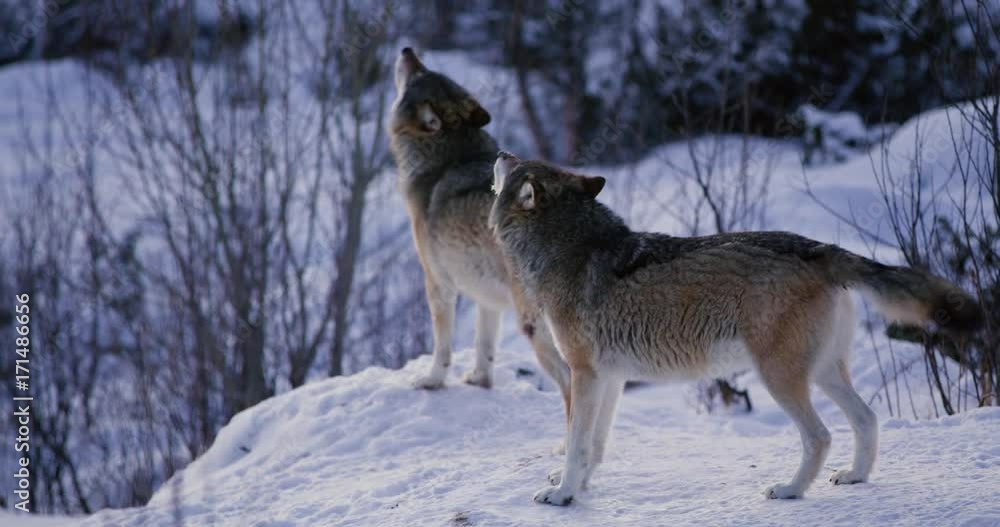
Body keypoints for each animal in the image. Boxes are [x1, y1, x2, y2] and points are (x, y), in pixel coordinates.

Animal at [388, 49, 572, 435]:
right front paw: (480, 381)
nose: (408, 50)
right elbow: (484, 347)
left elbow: (442, 348)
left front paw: (431, 382)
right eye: (428, 70)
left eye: (419, 75)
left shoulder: (438, 284)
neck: (448, 156)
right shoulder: (487, 297)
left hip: (535, 329)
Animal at [489, 151, 983, 505]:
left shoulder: (585, 374)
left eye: (515, 165)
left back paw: (790, 490)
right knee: (867, 420)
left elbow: (576, 443)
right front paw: (580, 485)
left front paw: (563, 494)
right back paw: (855, 477)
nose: (501, 149)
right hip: (824, 373)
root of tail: (821, 247)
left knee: (820, 436)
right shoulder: (609, 378)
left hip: (779, 378)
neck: (568, 249)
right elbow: (596, 444)